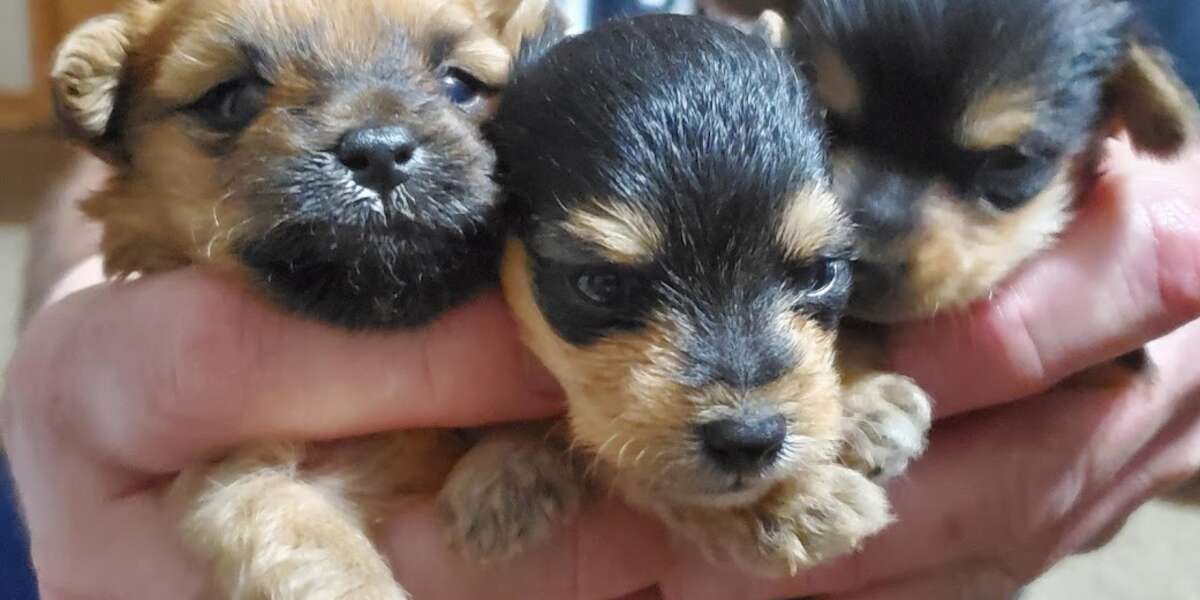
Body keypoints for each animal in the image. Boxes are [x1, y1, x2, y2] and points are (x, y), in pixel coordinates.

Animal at [50, 1, 561, 600]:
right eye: (231, 98)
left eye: (460, 84)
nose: (380, 151)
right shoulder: (224, 471)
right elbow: (285, 519)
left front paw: (510, 473)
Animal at [436, 14, 921, 576]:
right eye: (601, 285)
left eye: (820, 272)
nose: (748, 438)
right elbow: (647, 470)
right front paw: (799, 503)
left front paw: (865, 397)